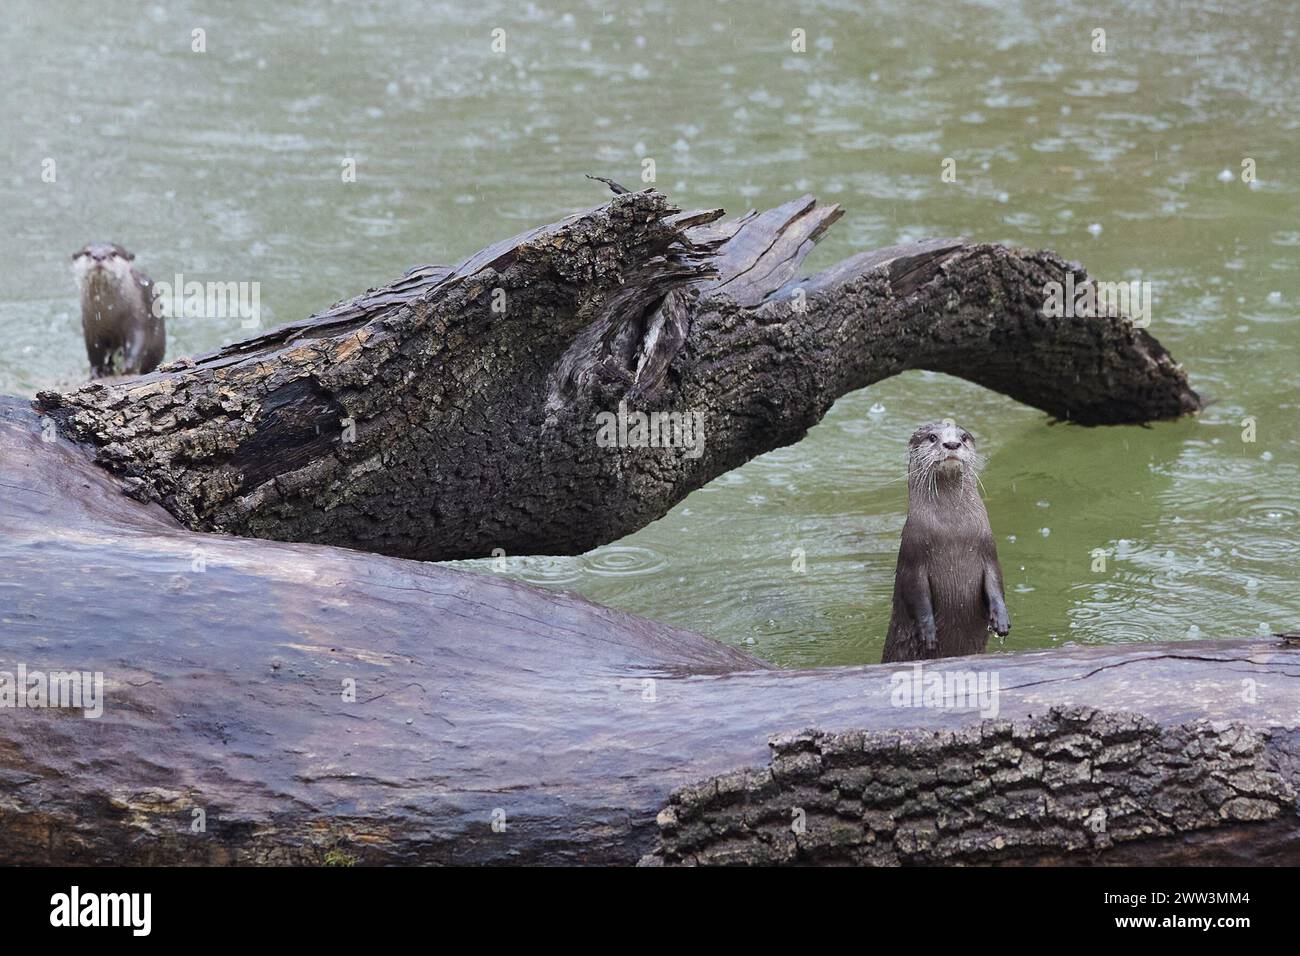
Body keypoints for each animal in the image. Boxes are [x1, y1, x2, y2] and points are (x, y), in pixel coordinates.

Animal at [72, 243, 164, 378]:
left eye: (114, 253)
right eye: (87, 253)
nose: (99, 256)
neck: (109, 313)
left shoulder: (137, 315)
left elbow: (137, 339)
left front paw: (127, 366)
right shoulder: (90, 326)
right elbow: (94, 350)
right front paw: (97, 371)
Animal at [881, 421, 1010, 663]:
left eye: (964, 437)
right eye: (932, 437)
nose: (952, 444)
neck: (953, 531)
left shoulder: (988, 550)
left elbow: (996, 582)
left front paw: (1001, 620)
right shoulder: (913, 558)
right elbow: (917, 595)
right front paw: (929, 632)